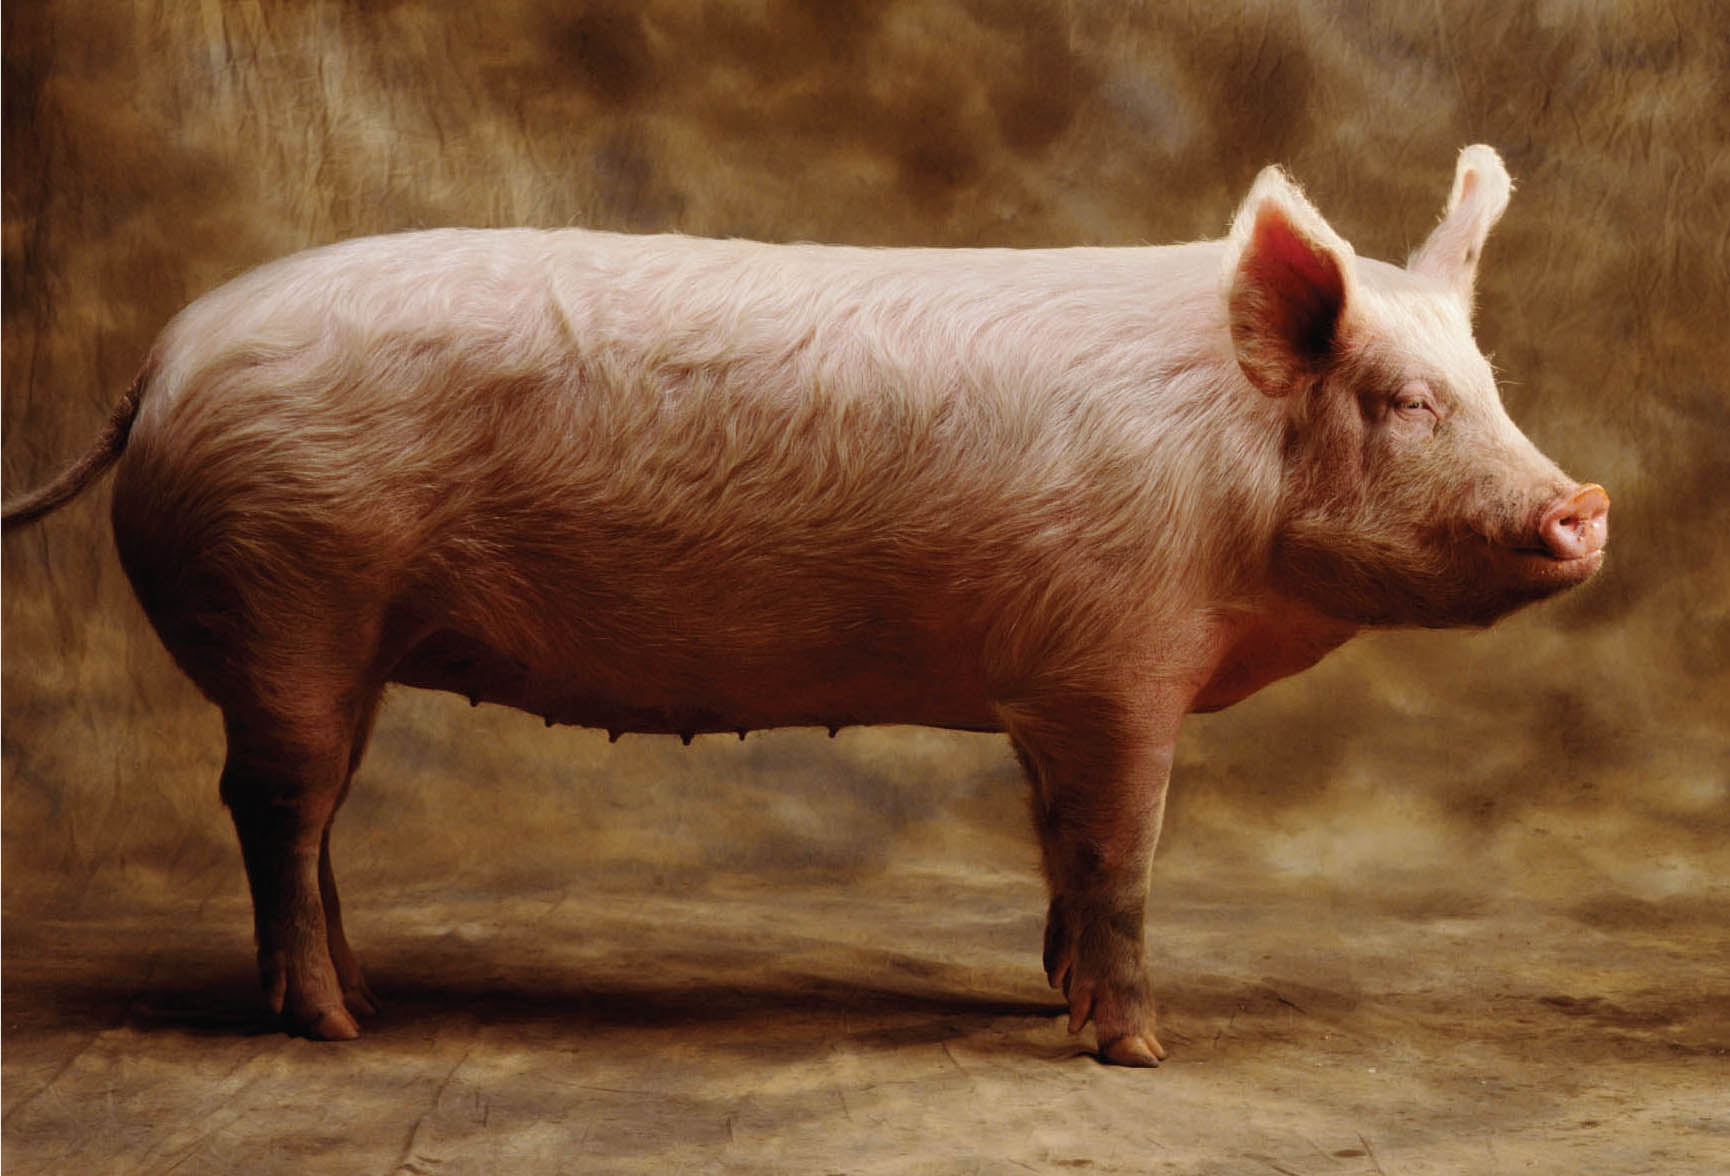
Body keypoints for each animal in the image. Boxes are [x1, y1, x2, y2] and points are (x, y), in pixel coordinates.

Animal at [1, 145, 1607, 1065]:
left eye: (1488, 387)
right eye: (1405, 403)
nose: (1584, 502)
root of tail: (161, 362)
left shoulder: (1046, 684)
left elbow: (1059, 852)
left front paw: (1052, 1003)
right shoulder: (1115, 660)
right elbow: (1123, 858)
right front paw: (1139, 1055)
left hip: (337, 634)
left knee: (310, 812)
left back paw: (363, 1002)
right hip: (291, 596)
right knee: (273, 806)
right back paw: (331, 1030)